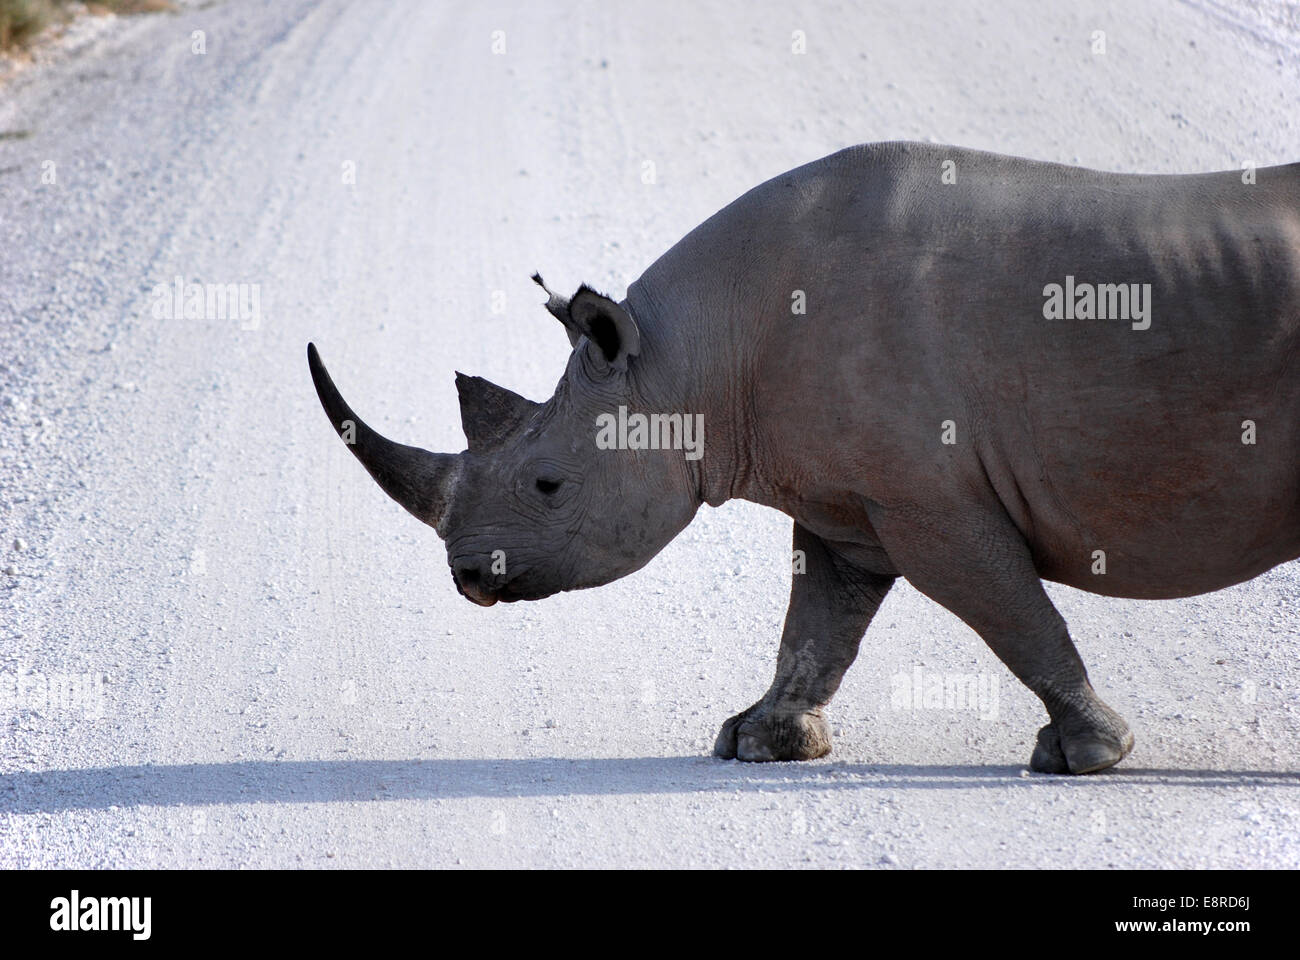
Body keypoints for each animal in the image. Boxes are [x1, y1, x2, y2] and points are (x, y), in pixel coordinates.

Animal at [308, 141, 1300, 774]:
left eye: (548, 485)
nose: (468, 577)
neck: (679, 364)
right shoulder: (851, 507)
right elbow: (818, 623)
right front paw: (757, 740)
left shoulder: (929, 504)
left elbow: (1012, 613)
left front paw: (1089, 756)